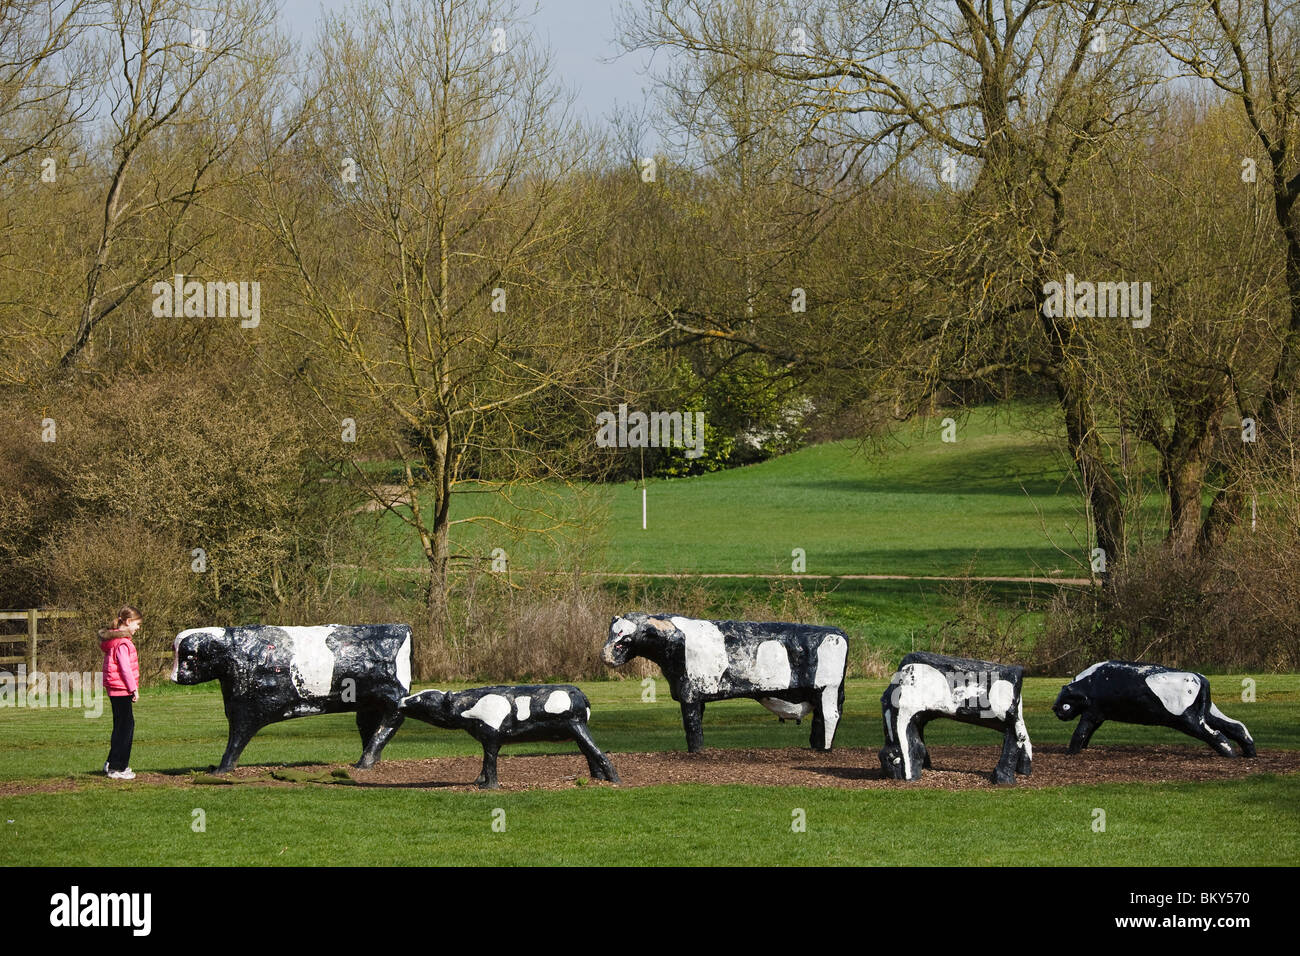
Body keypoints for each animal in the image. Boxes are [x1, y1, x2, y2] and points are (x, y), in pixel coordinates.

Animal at [171, 623, 411, 773]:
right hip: (369, 703)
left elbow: (235, 742)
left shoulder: (247, 711)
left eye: (189, 657)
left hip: (393, 697)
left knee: (390, 722)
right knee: (369, 727)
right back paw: (369, 760)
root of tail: (401, 627)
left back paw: (365, 762)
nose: (174, 677)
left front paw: (222, 769)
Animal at [399, 684, 619, 789]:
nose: (402, 700)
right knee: (589, 752)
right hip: (575, 731)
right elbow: (485, 762)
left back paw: (615, 780)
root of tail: (581, 694)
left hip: (576, 725)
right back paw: (597, 778)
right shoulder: (487, 737)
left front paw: (488, 786)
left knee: (596, 752)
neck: (467, 705)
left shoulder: (492, 733)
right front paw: (478, 781)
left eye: (422, 697)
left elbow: (490, 761)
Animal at [601, 612, 849, 752]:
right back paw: (816, 747)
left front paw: (696, 752)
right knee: (821, 719)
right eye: (610, 634)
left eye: (625, 639)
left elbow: (692, 726)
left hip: (827, 688)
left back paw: (824, 750)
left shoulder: (689, 692)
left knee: (830, 717)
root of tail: (838, 631)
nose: (605, 655)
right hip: (827, 692)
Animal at [879, 651, 1032, 785]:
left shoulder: (907, 713)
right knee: (1024, 736)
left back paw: (1002, 778)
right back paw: (1024, 771)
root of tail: (1017, 670)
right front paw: (926, 766)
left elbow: (913, 742)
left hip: (1004, 713)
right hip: (1012, 714)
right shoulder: (920, 717)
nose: (905, 778)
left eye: (894, 760)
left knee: (1017, 737)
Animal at [1052, 660, 1256, 757]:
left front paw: (1071, 753)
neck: (1090, 683)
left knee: (1217, 735)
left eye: (1065, 704)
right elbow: (1087, 734)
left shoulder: (1092, 712)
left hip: (1188, 719)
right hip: (1207, 712)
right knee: (1238, 727)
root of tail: (1201, 678)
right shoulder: (1099, 715)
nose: (1055, 709)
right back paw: (1249, 755)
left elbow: (1080, 732)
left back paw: (1230, 756)